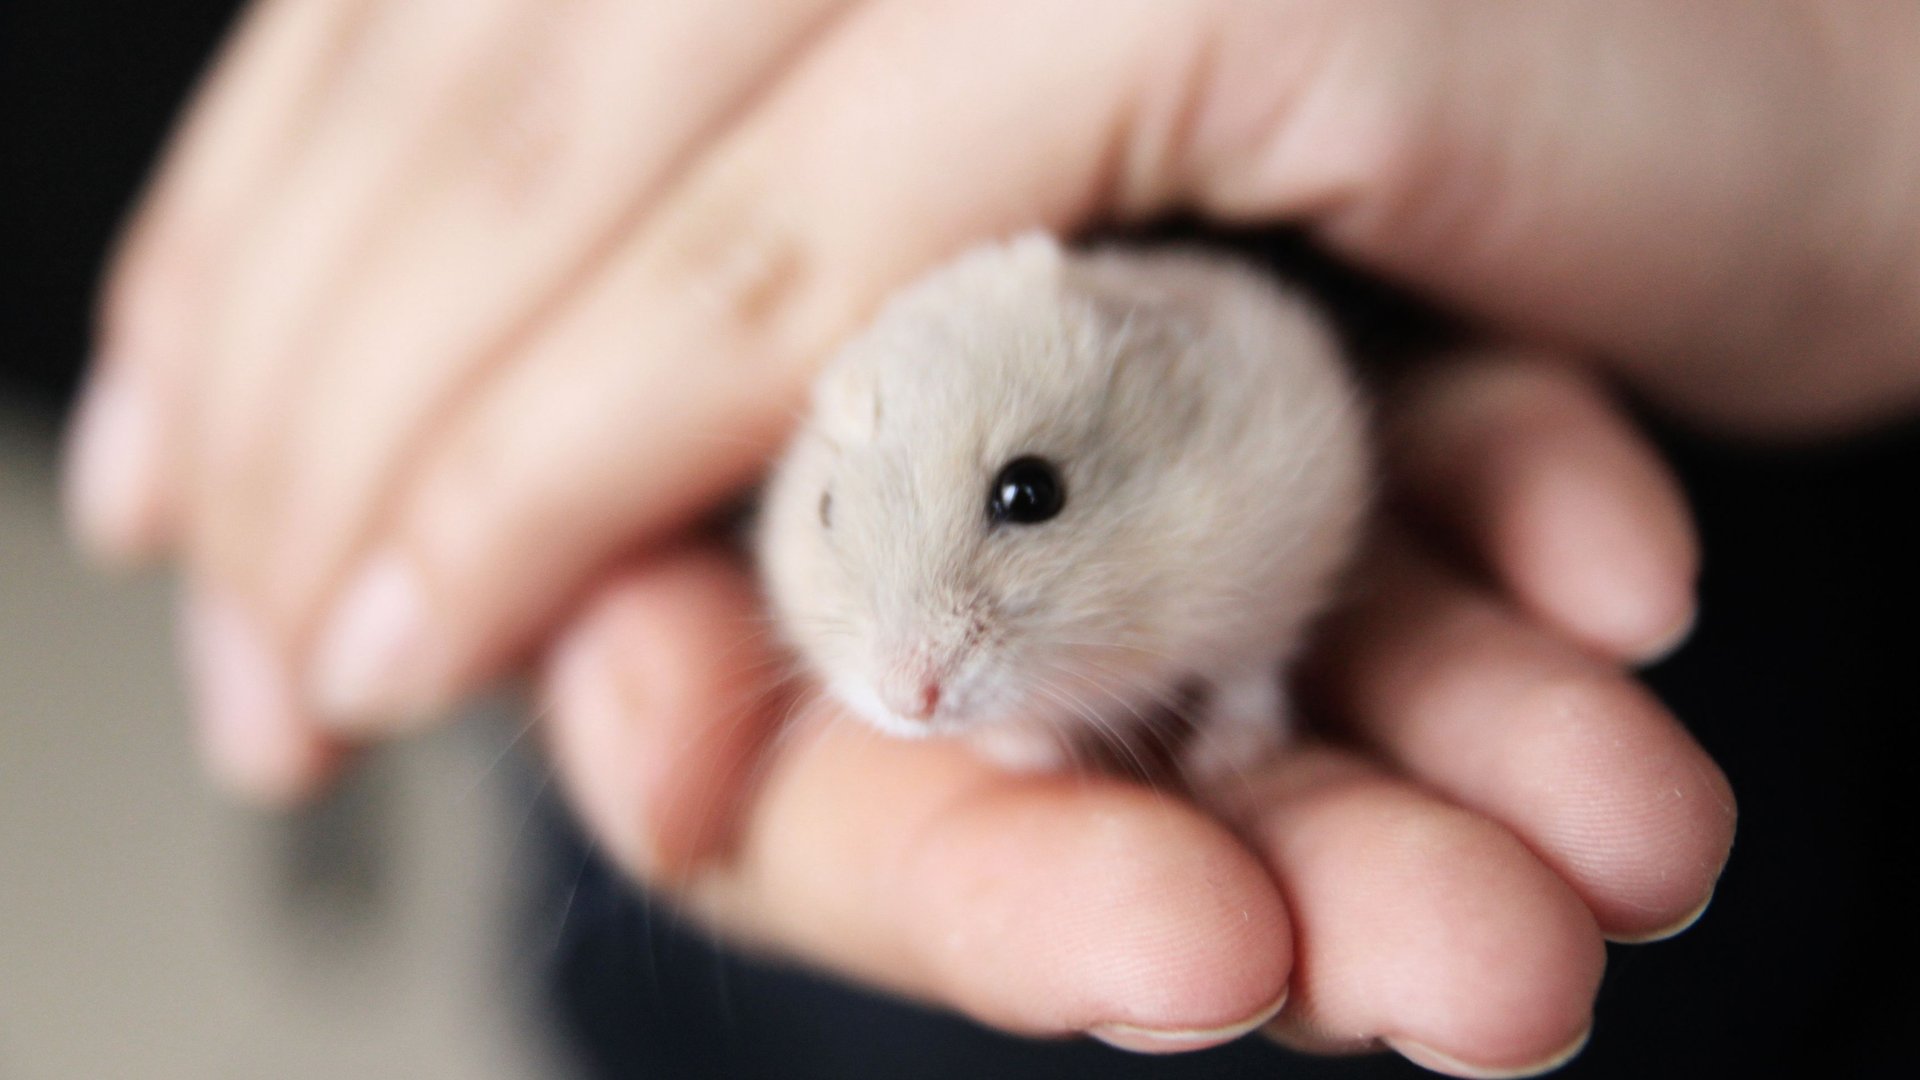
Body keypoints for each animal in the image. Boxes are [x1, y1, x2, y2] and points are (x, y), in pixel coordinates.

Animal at [756, 233, 1371, 790]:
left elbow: (1251, 673)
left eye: (1029, 492)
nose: (908, 700)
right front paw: (1040, 756)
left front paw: (1221, 761)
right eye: (826, 507)